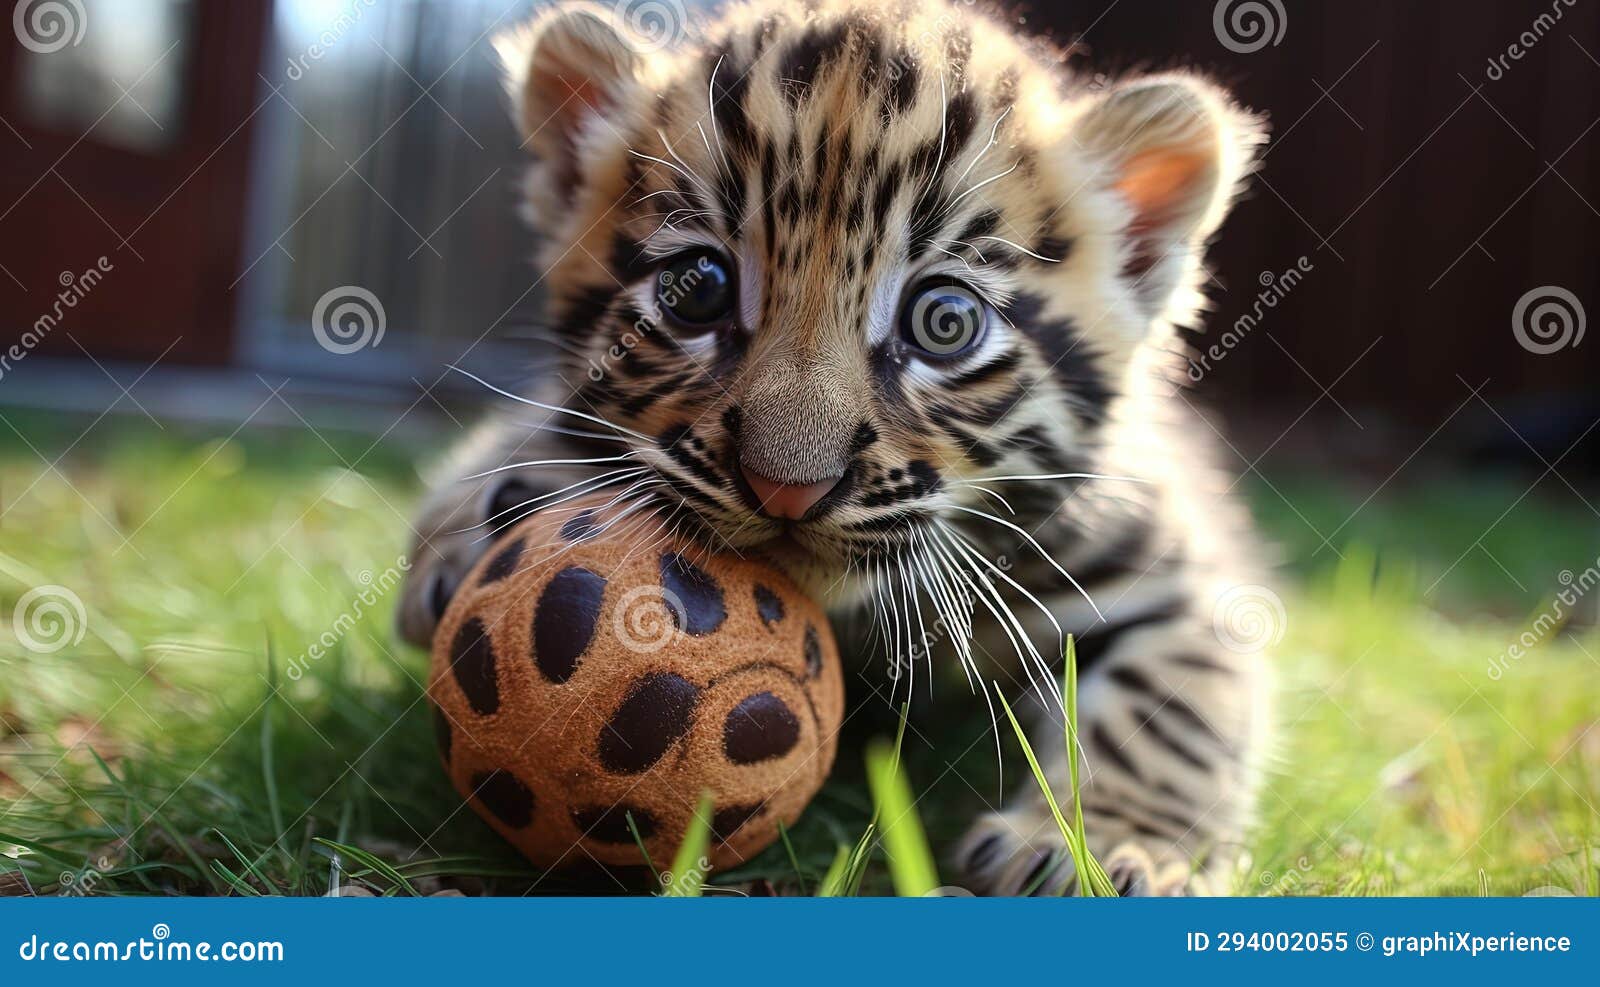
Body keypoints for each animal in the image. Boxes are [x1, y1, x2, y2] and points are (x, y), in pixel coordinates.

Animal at [397, 0, 1273, 896]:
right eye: (696, 289)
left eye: (945, 322)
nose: (787, 486)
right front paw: (478, 525)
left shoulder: (1177, 585)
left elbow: (1167, 710)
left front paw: (1100, 851)